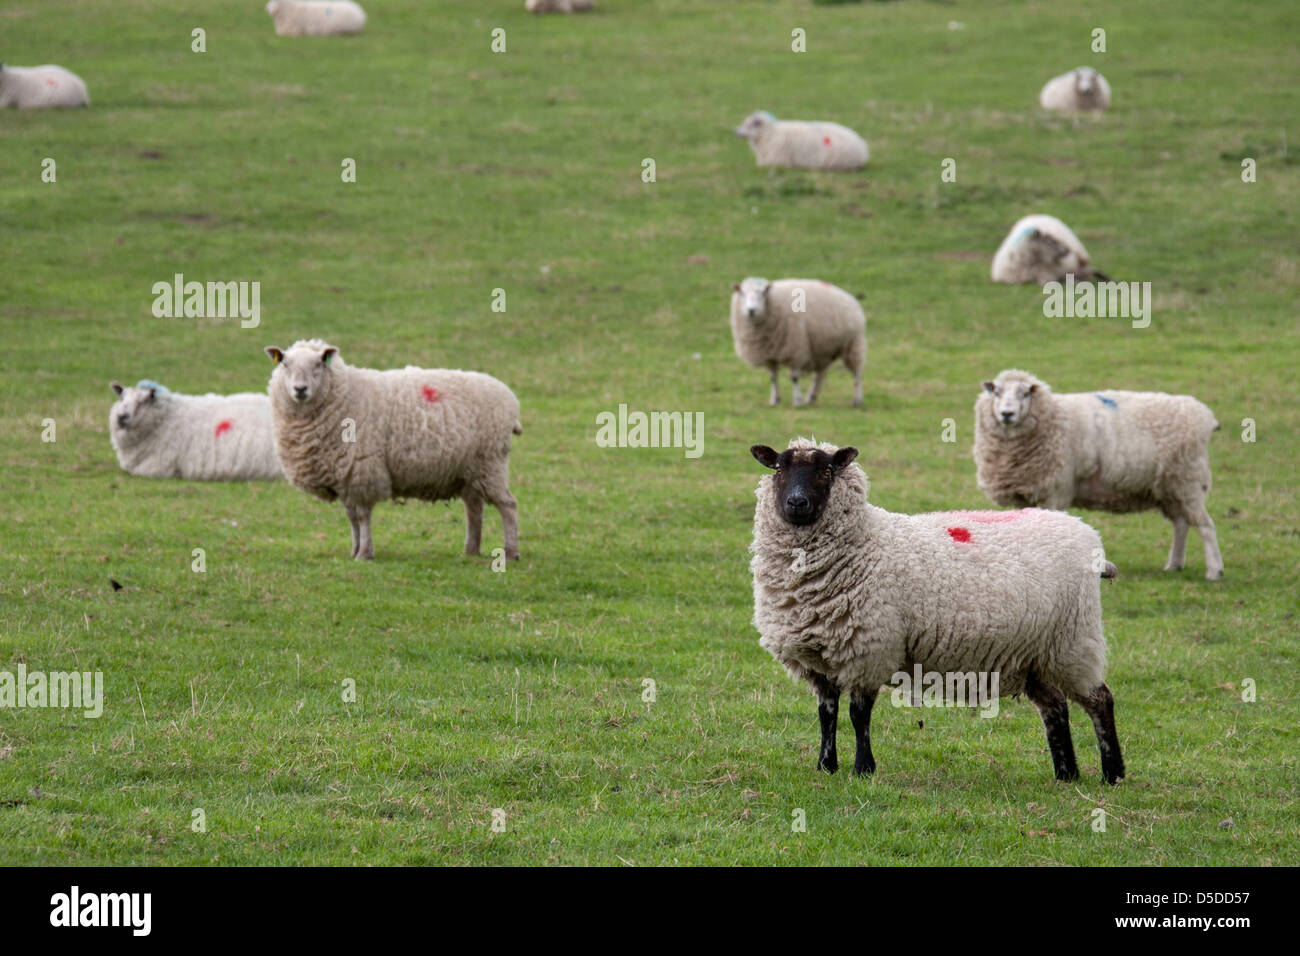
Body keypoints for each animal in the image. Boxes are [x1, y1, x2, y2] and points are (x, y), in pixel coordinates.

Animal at [264, 340, 522, 561]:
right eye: (284, 364)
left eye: (318, 364)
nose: (300, 389)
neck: (346, 394)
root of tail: (510, 399)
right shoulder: (345, 474)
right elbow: (351, 517)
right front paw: (354, 549)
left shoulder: (363, 470)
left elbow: (362, 516)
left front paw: (364, 553)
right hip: (469, 470)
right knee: (474, 509)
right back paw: (470, 550)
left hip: (491, 463)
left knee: (507, 505)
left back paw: (511, 552)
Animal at [730, 278, 866, 407]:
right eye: (742, 293)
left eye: (762, 294)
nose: (751, 310)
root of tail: (851, 299)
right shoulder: (768, 354)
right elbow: (773, 378)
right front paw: (774, 400)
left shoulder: (794, 349)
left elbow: (794, 378)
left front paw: (797, 401)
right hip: (822, 349)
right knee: (820, 375)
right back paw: (811, 397)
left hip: (853, 344)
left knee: (857, 374)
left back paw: (857, 400)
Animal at [749, 437, 1125, 784]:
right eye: (779, 470)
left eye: (826, 472)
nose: (797, 502)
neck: (864, 541)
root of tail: (1087, 534)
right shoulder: (820, 659)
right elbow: (826, 714)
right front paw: (826, 766)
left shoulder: (870, 649)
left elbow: (859, 715)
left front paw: (863, 769)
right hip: (1036, 654)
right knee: (1056, 708)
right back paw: (1066, 774)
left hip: (1073, 641)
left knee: (1100, 700)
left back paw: (1113, 774)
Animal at [974, 369, 1223, 580]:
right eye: (996, 392)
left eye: (1024, 393)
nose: (1007, 413)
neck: (1052, 417)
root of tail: (1204, 416)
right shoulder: (1024, 494)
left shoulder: (1054, 490)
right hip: (1169, 487)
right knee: (1181, 524)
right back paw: (1174, 565)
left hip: (1188, 479)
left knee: (1205, 525)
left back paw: (1214, 571)